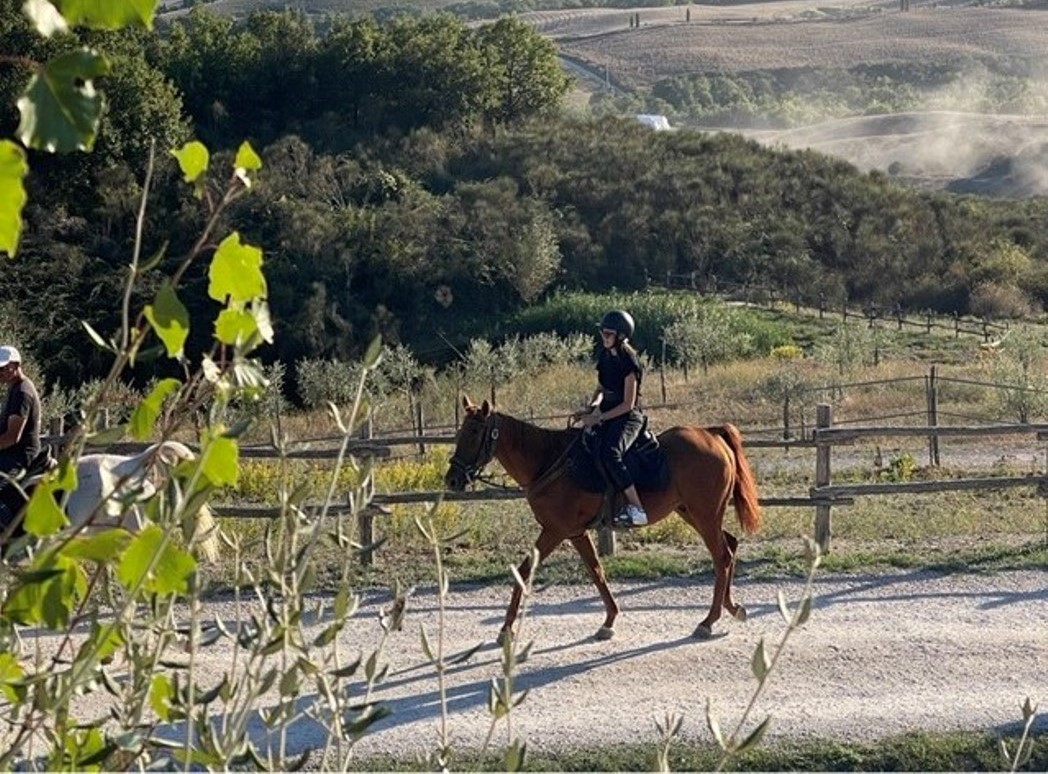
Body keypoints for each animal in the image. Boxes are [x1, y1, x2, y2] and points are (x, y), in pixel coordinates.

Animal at [444, 397, 762, 643]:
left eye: (475, 431)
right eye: (460, 432)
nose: (452, 479)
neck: (550, 462)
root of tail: (712, 434)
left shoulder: (555, 530)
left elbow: (523, 572)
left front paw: (506, 630)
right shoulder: (575, 532)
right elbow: (596, 571)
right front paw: (609, 621)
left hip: (704, 514)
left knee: (722, 556)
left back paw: (709, 621)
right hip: (693, 512)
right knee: (730, 547)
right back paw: (732, 608)